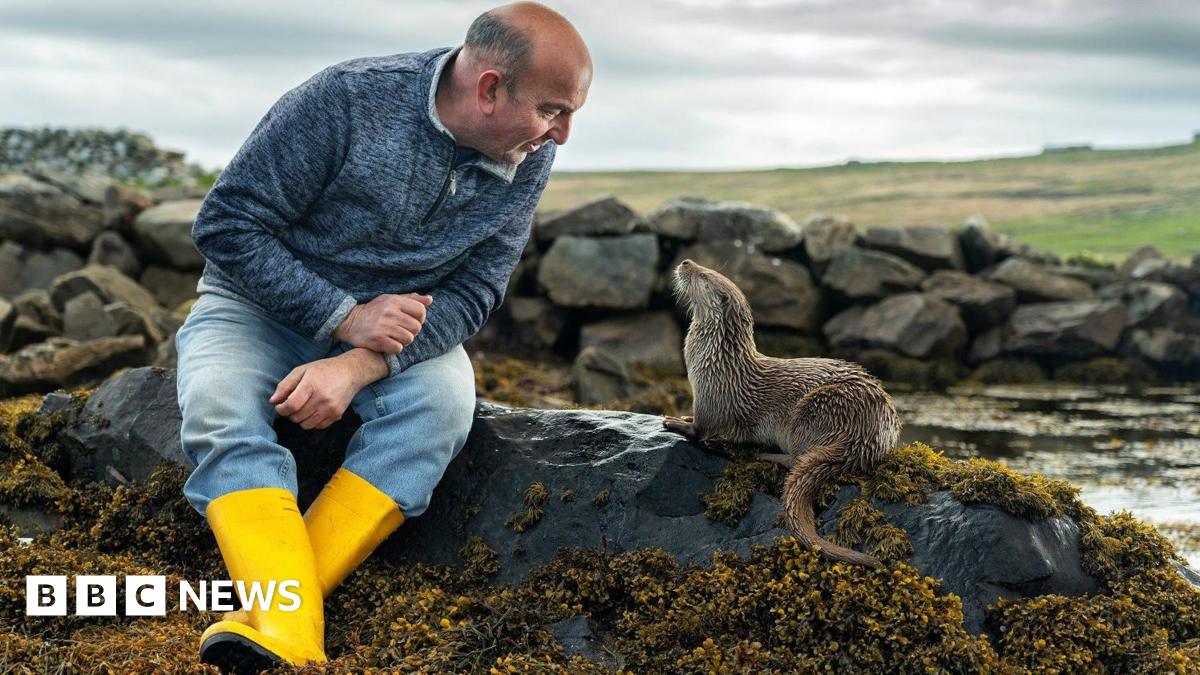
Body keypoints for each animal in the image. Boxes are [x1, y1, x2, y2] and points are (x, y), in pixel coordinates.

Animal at [664, 259, 903, 568]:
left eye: (704, 275)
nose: (685, 262)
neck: (717, 360)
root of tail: (869, 437)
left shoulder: (711, 397)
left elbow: (701, 430)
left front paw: (676, 422)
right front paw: (682, 416)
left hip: (814, 411)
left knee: (797, 457)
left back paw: (766, 455)